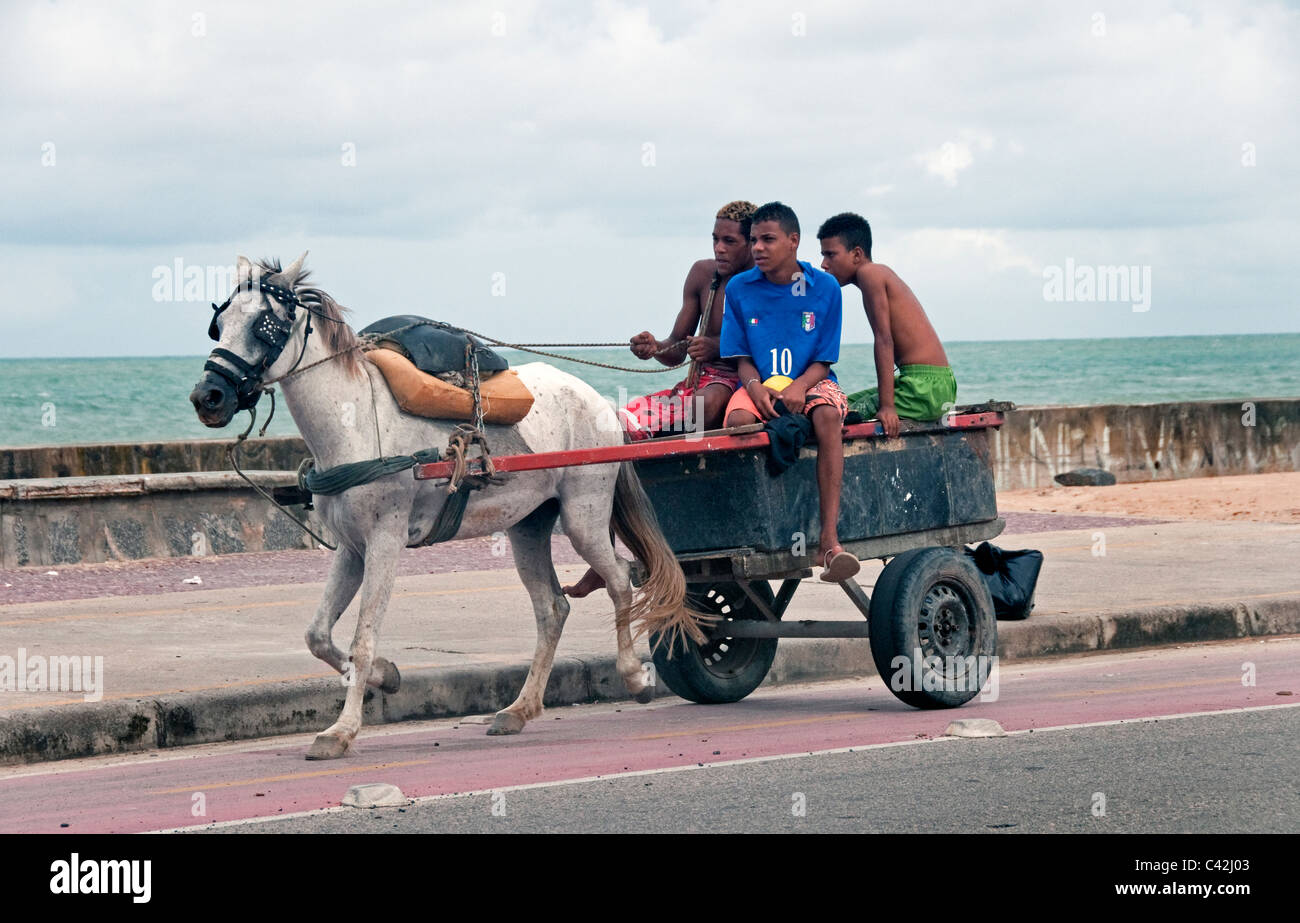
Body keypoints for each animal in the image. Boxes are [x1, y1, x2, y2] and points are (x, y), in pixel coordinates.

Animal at [189, 253, 707, 760]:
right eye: (220, 324)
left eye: (264, 325)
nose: (207, 396)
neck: (356, 423)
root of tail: (599, 402)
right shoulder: (352, 548)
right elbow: (317, 635)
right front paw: (386, 675)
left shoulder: (385, 542)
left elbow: (362, 638)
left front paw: (341, 730)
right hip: (528, 526)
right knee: (552, 609)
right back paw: (519, 709)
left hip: (584, 514)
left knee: (620, 580)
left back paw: (635, 676)